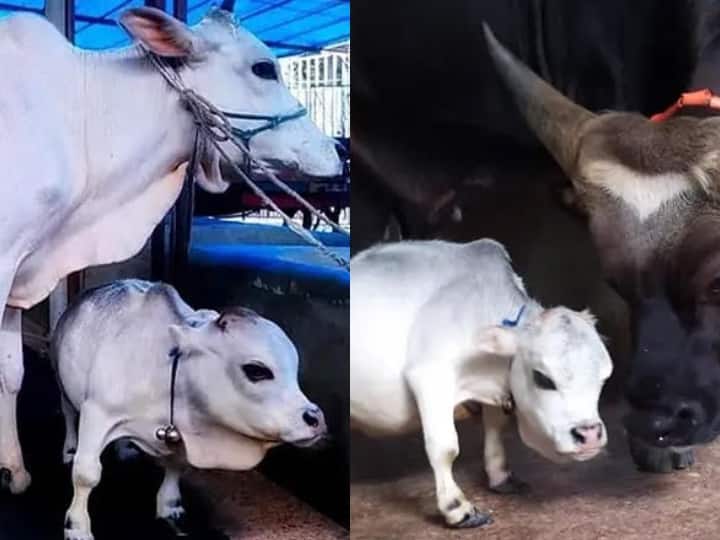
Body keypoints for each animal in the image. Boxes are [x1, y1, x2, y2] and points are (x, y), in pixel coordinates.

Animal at [52, 279, 327, 540]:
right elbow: (86, 474)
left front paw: (170, 508)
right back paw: (70, 448)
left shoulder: (183, 431)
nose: (315, 418)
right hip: (62, 383)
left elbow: (176, 466)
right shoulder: (98, 411)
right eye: (256, 370)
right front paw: (77, 527)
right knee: (68, 414)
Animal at [351, 239, 612, 528]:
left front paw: (501, 476)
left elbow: (495, 426)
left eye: (605, 377)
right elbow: (445, 446)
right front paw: (457, 508)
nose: (589, 435)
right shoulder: (430, 374)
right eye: (543, 377)